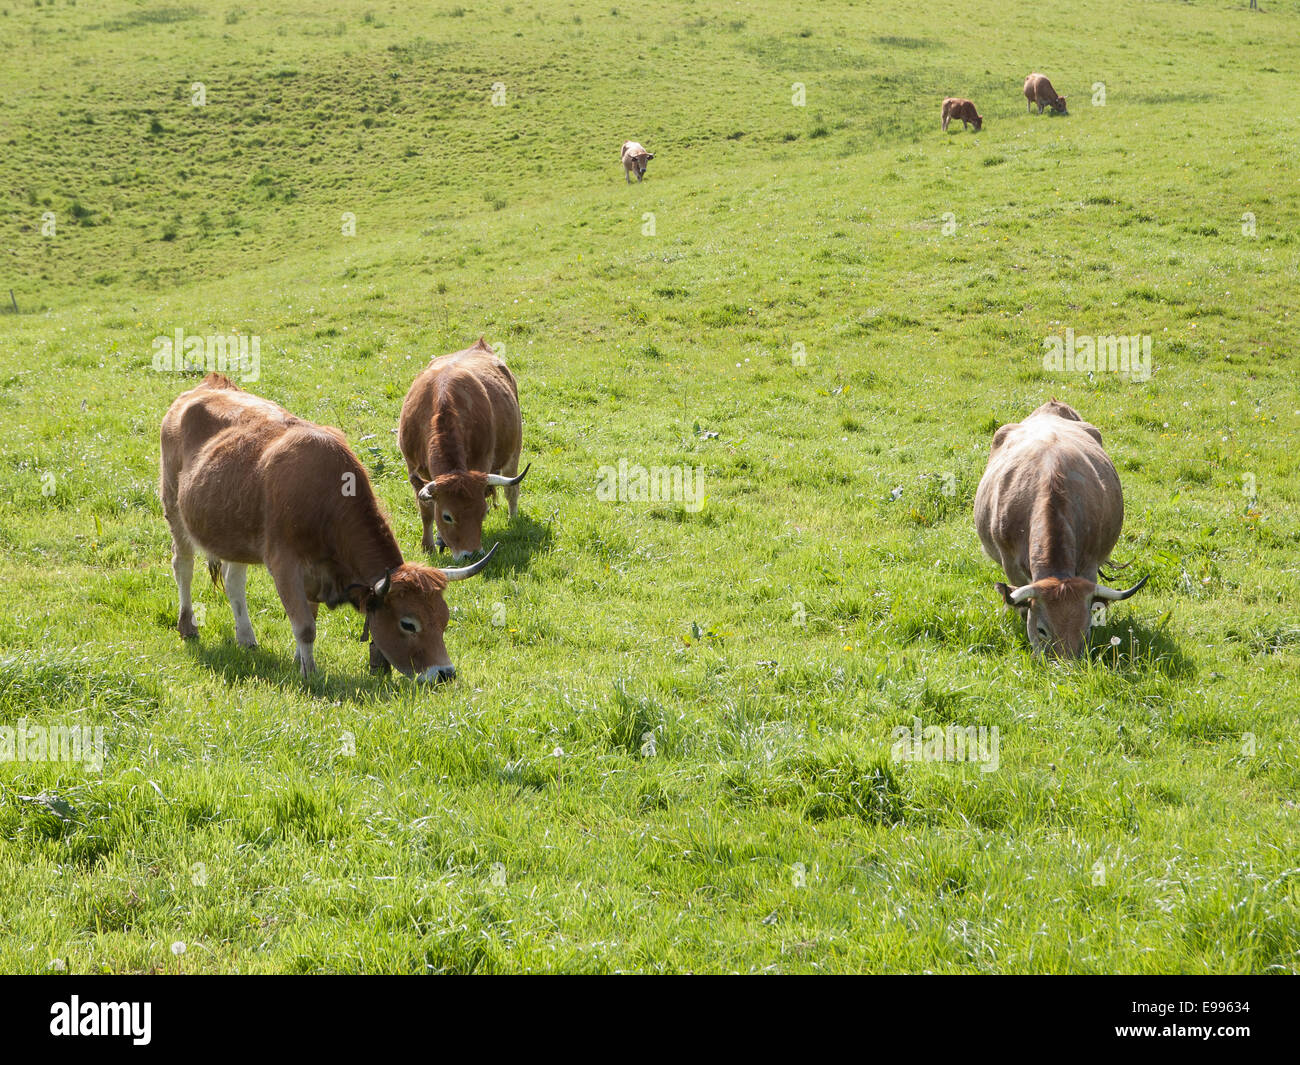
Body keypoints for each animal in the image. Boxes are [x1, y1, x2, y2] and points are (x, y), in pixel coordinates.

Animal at [160, 373, 496, 682]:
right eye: (408, 623)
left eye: (444, 619)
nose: (445, 673)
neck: (325, 498)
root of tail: (206, 385)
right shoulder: (284, 566)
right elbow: (305, 627)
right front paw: (309, 674)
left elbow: (310, 617)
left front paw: (299, 660)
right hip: (174, 508)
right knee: (183, 566)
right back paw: (188, 625)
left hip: (235, 534)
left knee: (233, 582)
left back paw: (246, 637)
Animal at [398, 338, 528, 561]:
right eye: (447, 516)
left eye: (483, 512)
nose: (472, 555)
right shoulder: (413, 469)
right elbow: (426, 511)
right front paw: (428, 546)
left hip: (513, 453)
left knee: (512, 490)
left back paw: (513, 519)